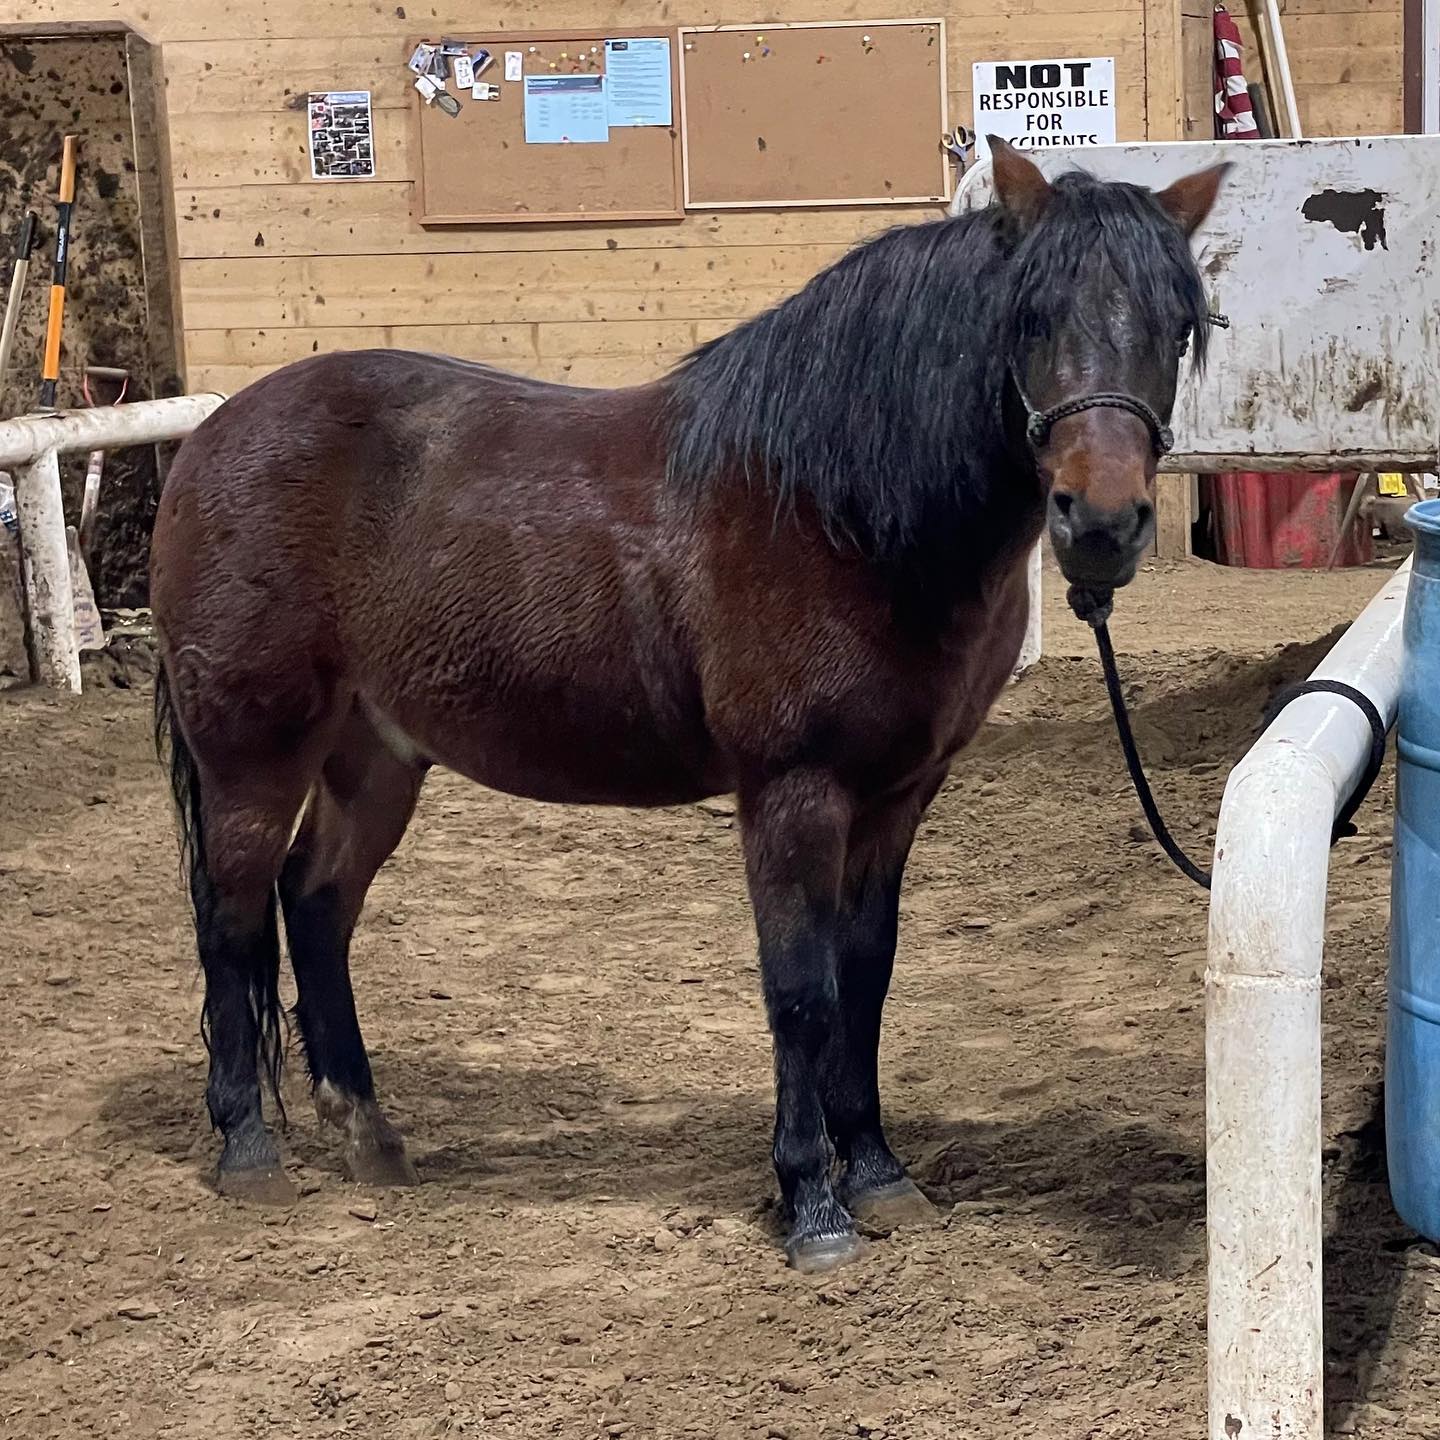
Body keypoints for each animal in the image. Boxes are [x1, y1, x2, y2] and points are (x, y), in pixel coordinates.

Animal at [150, 140, 1225, 1272]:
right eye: (1031, 319)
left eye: (1177, 326)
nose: (1101, 525)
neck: (832, 509)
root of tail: (214, 437)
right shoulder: (792, 793)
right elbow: (799, 989)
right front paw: (813, 1206)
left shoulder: (897, 797)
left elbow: (865, 979)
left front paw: (880, 1176)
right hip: (253, 755)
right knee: (231, 919)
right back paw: (249, 1152)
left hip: (377, 756)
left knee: (315, 904)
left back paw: (369, 1138)